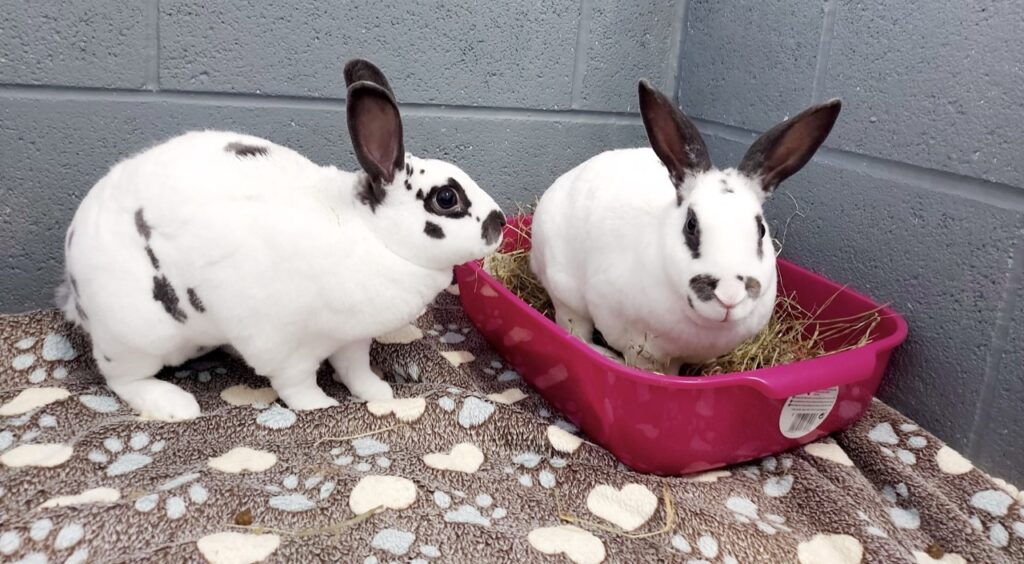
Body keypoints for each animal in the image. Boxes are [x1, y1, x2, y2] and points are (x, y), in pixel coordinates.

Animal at [56, 59, 507, 421]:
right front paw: (321, 406)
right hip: (136, 333)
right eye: (446, 198)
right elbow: (297, 382)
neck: (371, 233)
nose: (500, 222)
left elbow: (355, 368)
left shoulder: (351, 338)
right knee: (121, 377)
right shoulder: (283, 342)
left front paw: (378, 392)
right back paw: (175, 404)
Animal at [530, 80, 840, 375]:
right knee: (574, 331)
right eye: (691, 225)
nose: (729, 295)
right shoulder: (639, 344)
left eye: (761, 230)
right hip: (566, 293)